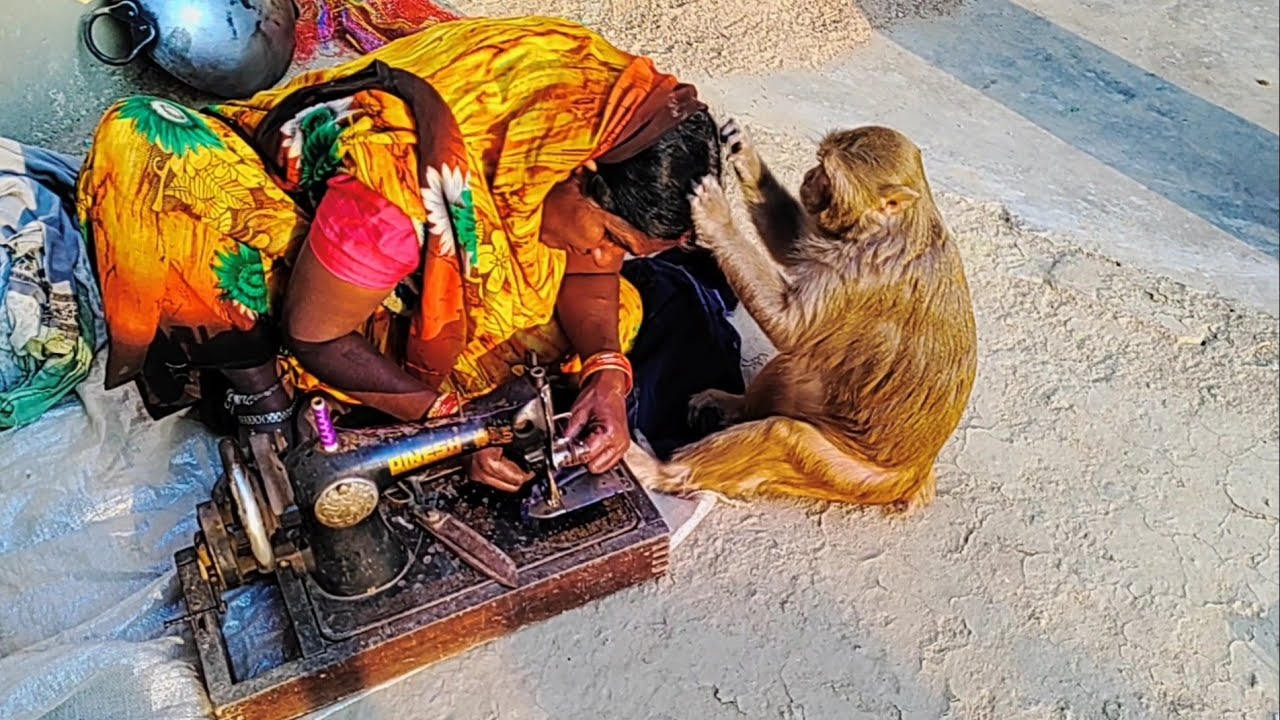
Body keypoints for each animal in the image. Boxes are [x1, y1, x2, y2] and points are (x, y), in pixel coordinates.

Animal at [632, 120, 978, 513]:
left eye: (827, 175)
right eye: (819, 162)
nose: (810, 177)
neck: (895, 223)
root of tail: (914, 476)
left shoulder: (857, 272)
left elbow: (790, 327)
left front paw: (718, 219)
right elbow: (794, 245)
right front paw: (746, 157)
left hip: (845, 475)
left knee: (784, 424)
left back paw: (663, 471)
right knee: (795, 368)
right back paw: (734, 406)